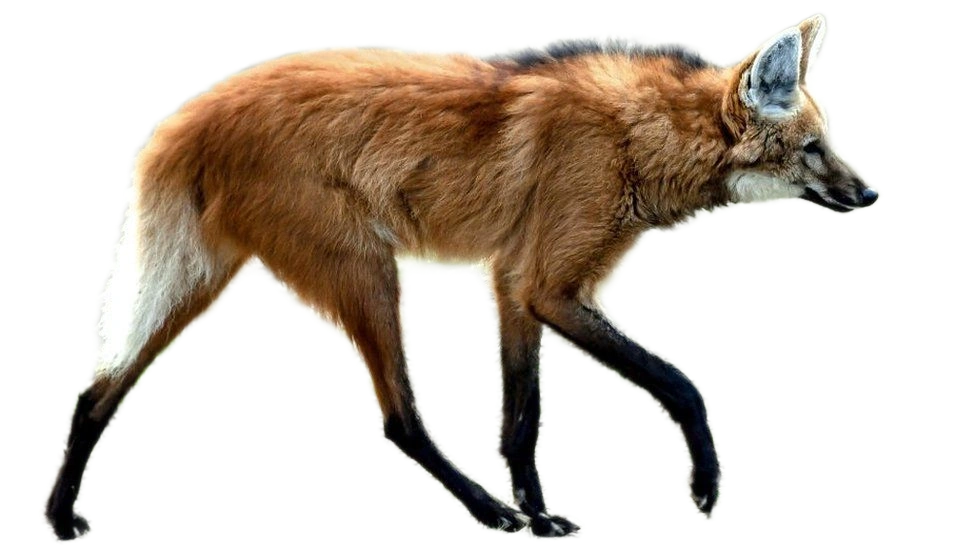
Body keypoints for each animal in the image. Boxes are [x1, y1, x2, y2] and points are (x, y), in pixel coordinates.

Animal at [43, 13, 878, 541]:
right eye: (812, 147)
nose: (871, 193)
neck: (640, 136)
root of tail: (188, 113)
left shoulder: (515, 284)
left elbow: (520, 419)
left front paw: (542, 515)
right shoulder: (545, 284)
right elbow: (680, 383)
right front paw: (701, 486)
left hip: (203, 277)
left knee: (97, 390)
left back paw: (60, 517)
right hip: (367, 268)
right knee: (401, 419)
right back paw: (486, 510)